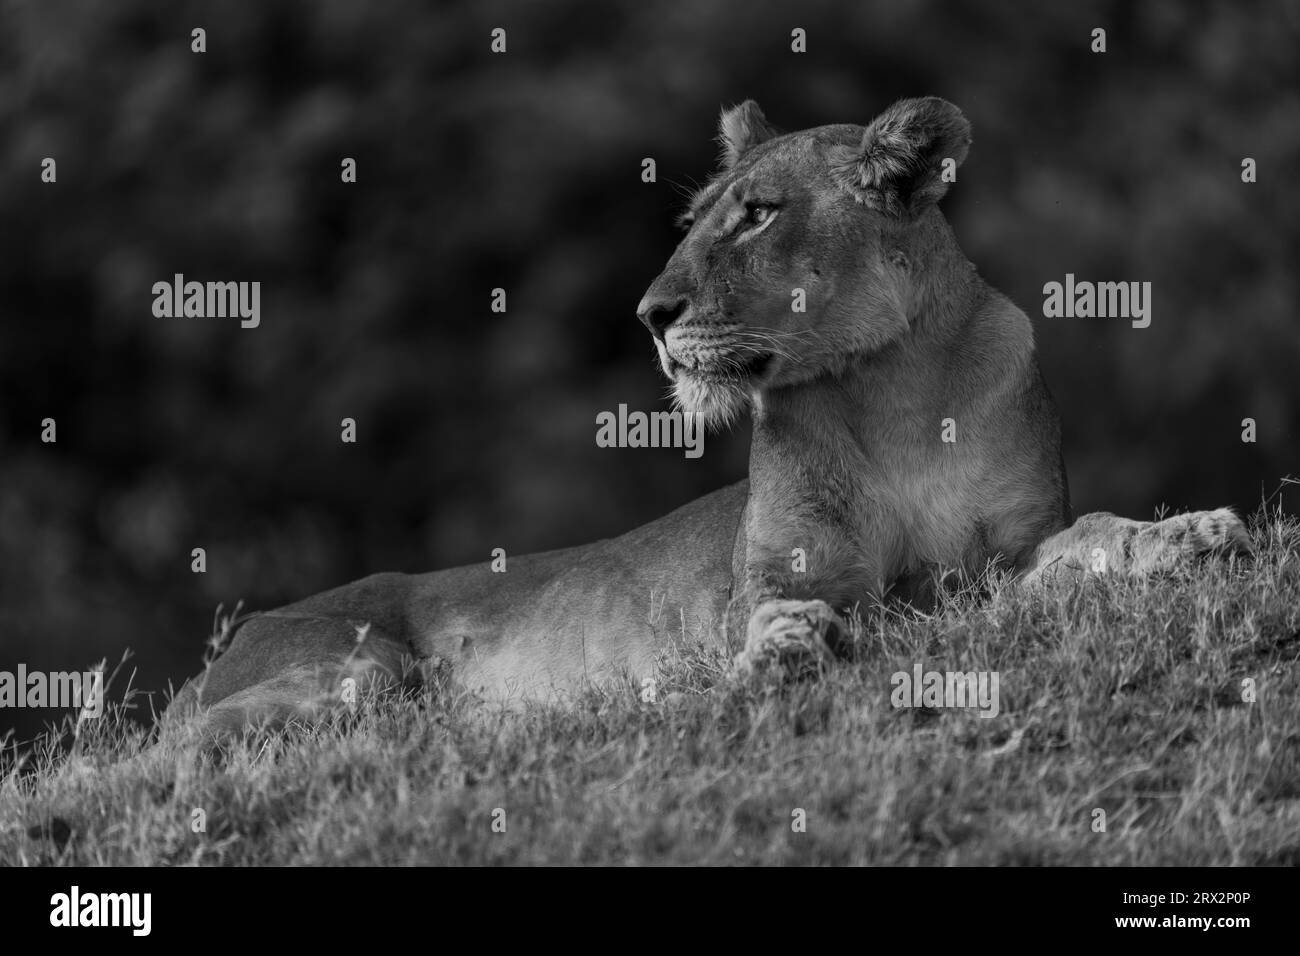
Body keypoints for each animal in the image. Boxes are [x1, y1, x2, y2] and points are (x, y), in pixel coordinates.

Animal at [166, 96, 1249, 736]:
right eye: (690, 223)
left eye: (759, 213)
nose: (650, 314)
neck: (897, 393)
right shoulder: (782, 571)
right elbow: (778, 610)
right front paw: (778, 657)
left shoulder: (1011, 551)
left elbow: (1088, 537)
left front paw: (1192, 534)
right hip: (358, 667)